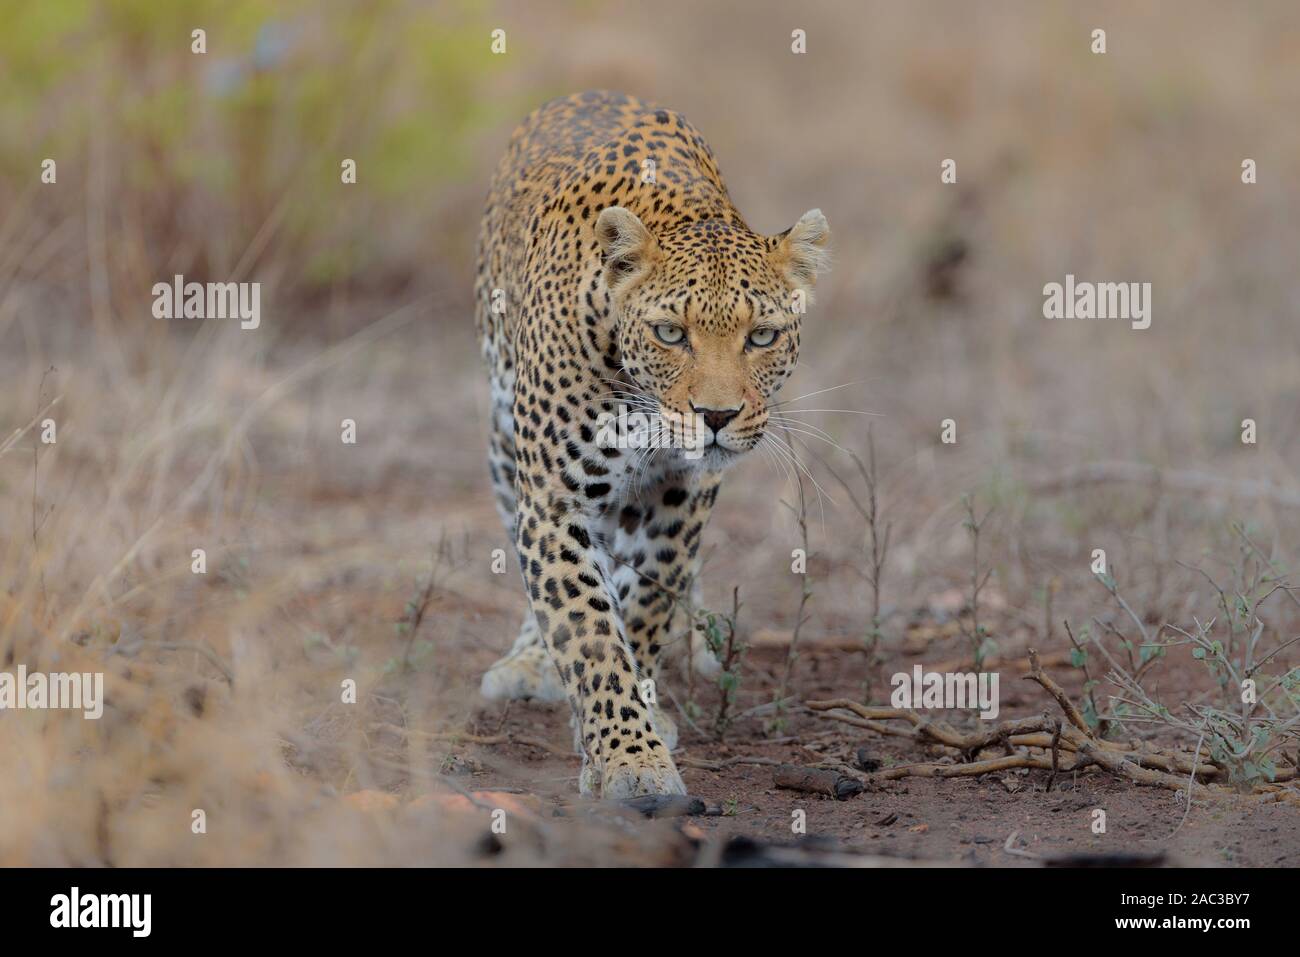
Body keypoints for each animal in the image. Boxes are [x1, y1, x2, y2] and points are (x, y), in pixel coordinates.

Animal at [473, 90, 830, 798]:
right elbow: (587, 627)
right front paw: (628, 761)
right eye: (670, 333)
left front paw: (635, 725)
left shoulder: (678, 495)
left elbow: (643, 607)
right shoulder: (554, 500)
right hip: (505, 450)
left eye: (762, 337)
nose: (716, 416)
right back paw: (528, 662)